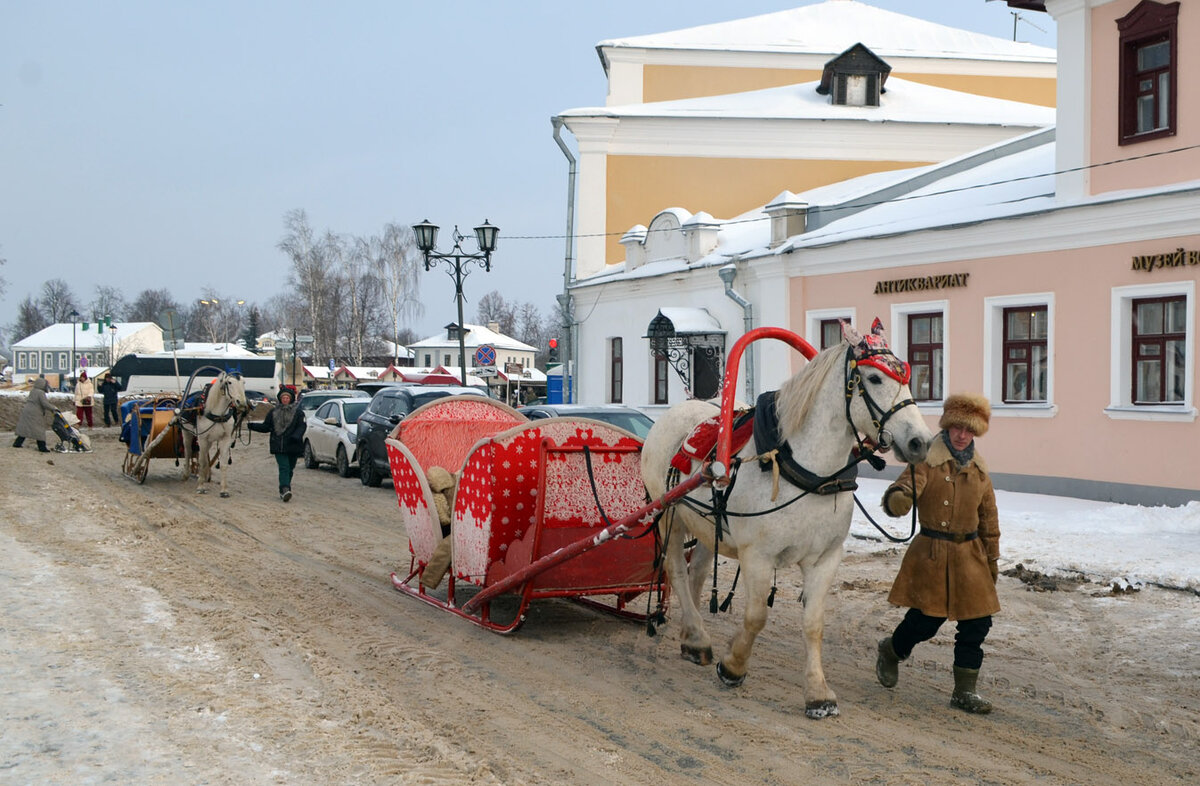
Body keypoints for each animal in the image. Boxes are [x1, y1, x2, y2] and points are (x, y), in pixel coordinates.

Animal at [178, 369, 247, 499]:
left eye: (243, 382)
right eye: (229, 382)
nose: (241, 403)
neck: (217, 413)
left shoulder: (225, 439)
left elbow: (223, 464)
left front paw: (224, 490)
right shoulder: (202, 438)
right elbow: (201, 461)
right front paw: (201, 487)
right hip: (187, 433)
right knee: (188, 451)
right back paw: (186, 474)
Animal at [643, 319, 931, 720]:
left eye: (906, 374)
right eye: (874, 378)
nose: (921, 442)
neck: (807, 470)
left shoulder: (826, 558)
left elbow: (813, 624)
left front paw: (818, 693)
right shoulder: (757, 556)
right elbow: (755, 617)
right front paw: (733, 666)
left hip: (706, 524)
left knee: (696, 571)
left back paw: (691, 633)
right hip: (667, 512)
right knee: (676, 570)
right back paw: (698, 636)